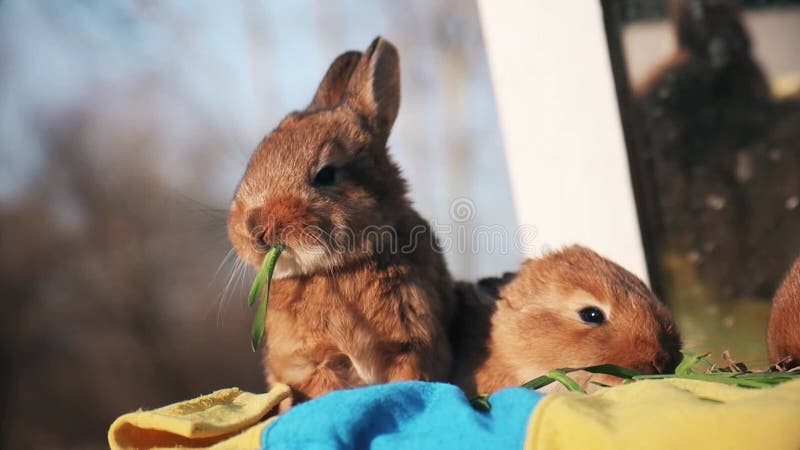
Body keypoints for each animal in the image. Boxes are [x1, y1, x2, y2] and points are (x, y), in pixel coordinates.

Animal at [227, 37, 455, 406]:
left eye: (326, 174)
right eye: (253, 162)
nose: (256, 229)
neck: (336, 269)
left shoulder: (413, 344)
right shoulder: (309, 364)